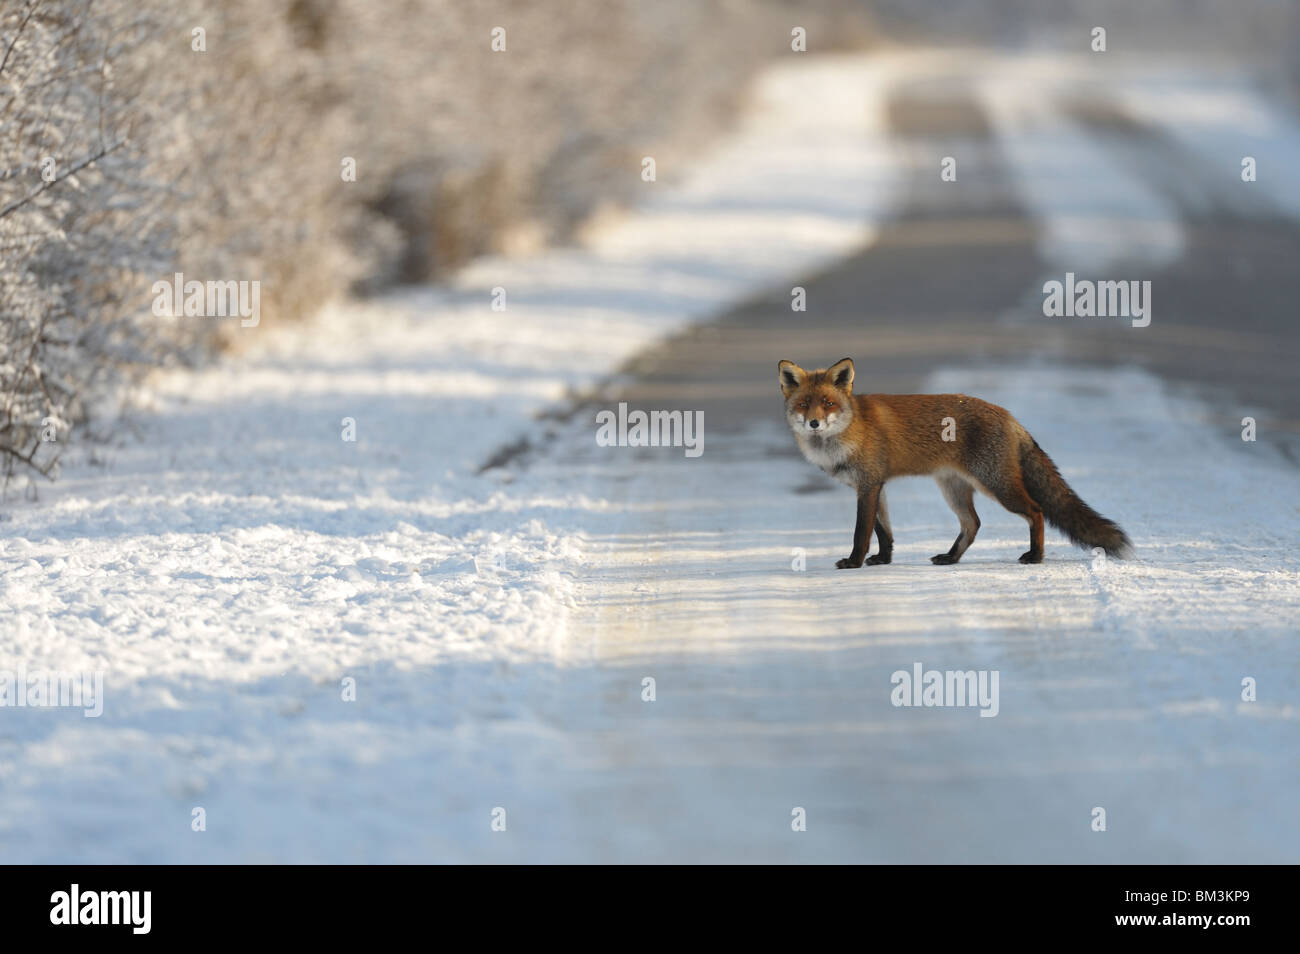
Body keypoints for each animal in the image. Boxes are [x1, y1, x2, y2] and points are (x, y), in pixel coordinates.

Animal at [778, 357, 1132, 568]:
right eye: (804, 404)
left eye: (828, 403)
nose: (814, 423)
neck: (848, 432)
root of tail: (1010, 416)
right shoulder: (873, 486)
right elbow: (883, 531)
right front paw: (883, 559)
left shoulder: (868, 485)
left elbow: (860, 532)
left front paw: (854, 562)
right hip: (953, 489)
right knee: (973, 524)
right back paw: (951, 557)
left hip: (997, 485)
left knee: (1036, 511)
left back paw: (1035, 556)